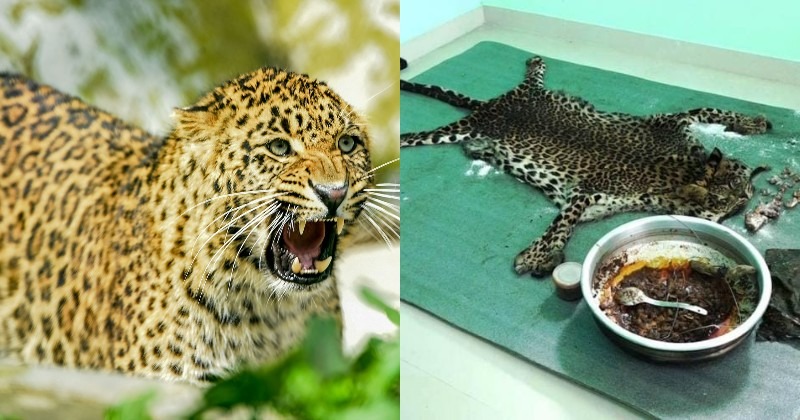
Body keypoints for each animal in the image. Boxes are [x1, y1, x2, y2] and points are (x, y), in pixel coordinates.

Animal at [401, 56, 771, 277]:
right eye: (728, 197)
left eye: (745, 191)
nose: (744, 202)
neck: (684, 171)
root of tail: (488, 108)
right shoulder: (587, 191)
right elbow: (562, 223)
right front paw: (536, 256)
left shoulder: (592, 203)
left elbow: (715, 110)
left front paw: (752, 124)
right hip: (455, 129)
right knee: (417, 137)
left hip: (522, 101)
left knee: (528, 85)